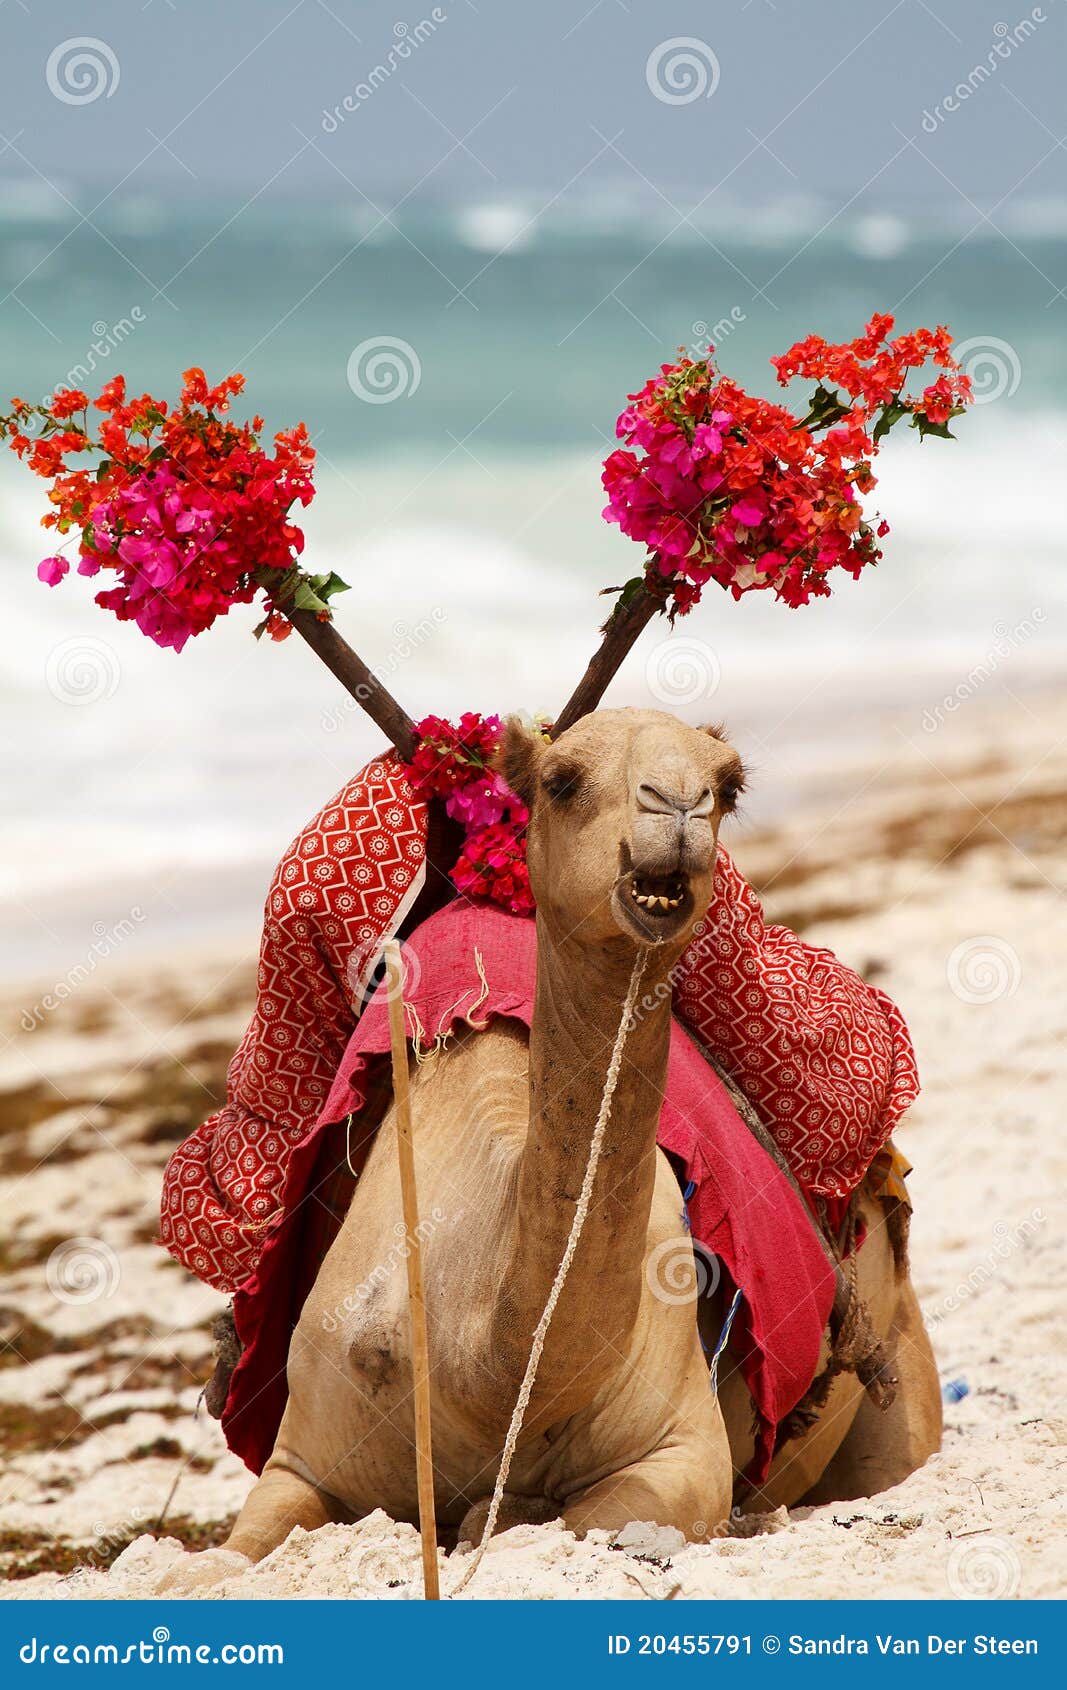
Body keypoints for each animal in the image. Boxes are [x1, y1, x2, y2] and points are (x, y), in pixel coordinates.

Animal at [161, 709, 940, 1592]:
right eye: (562, 781)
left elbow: (559, 1522)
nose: (678, 807)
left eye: (730, 784)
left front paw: (499, 1517)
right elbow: (226, 1554)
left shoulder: (678, 1455)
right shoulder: (302, 1455)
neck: (483, 1372)